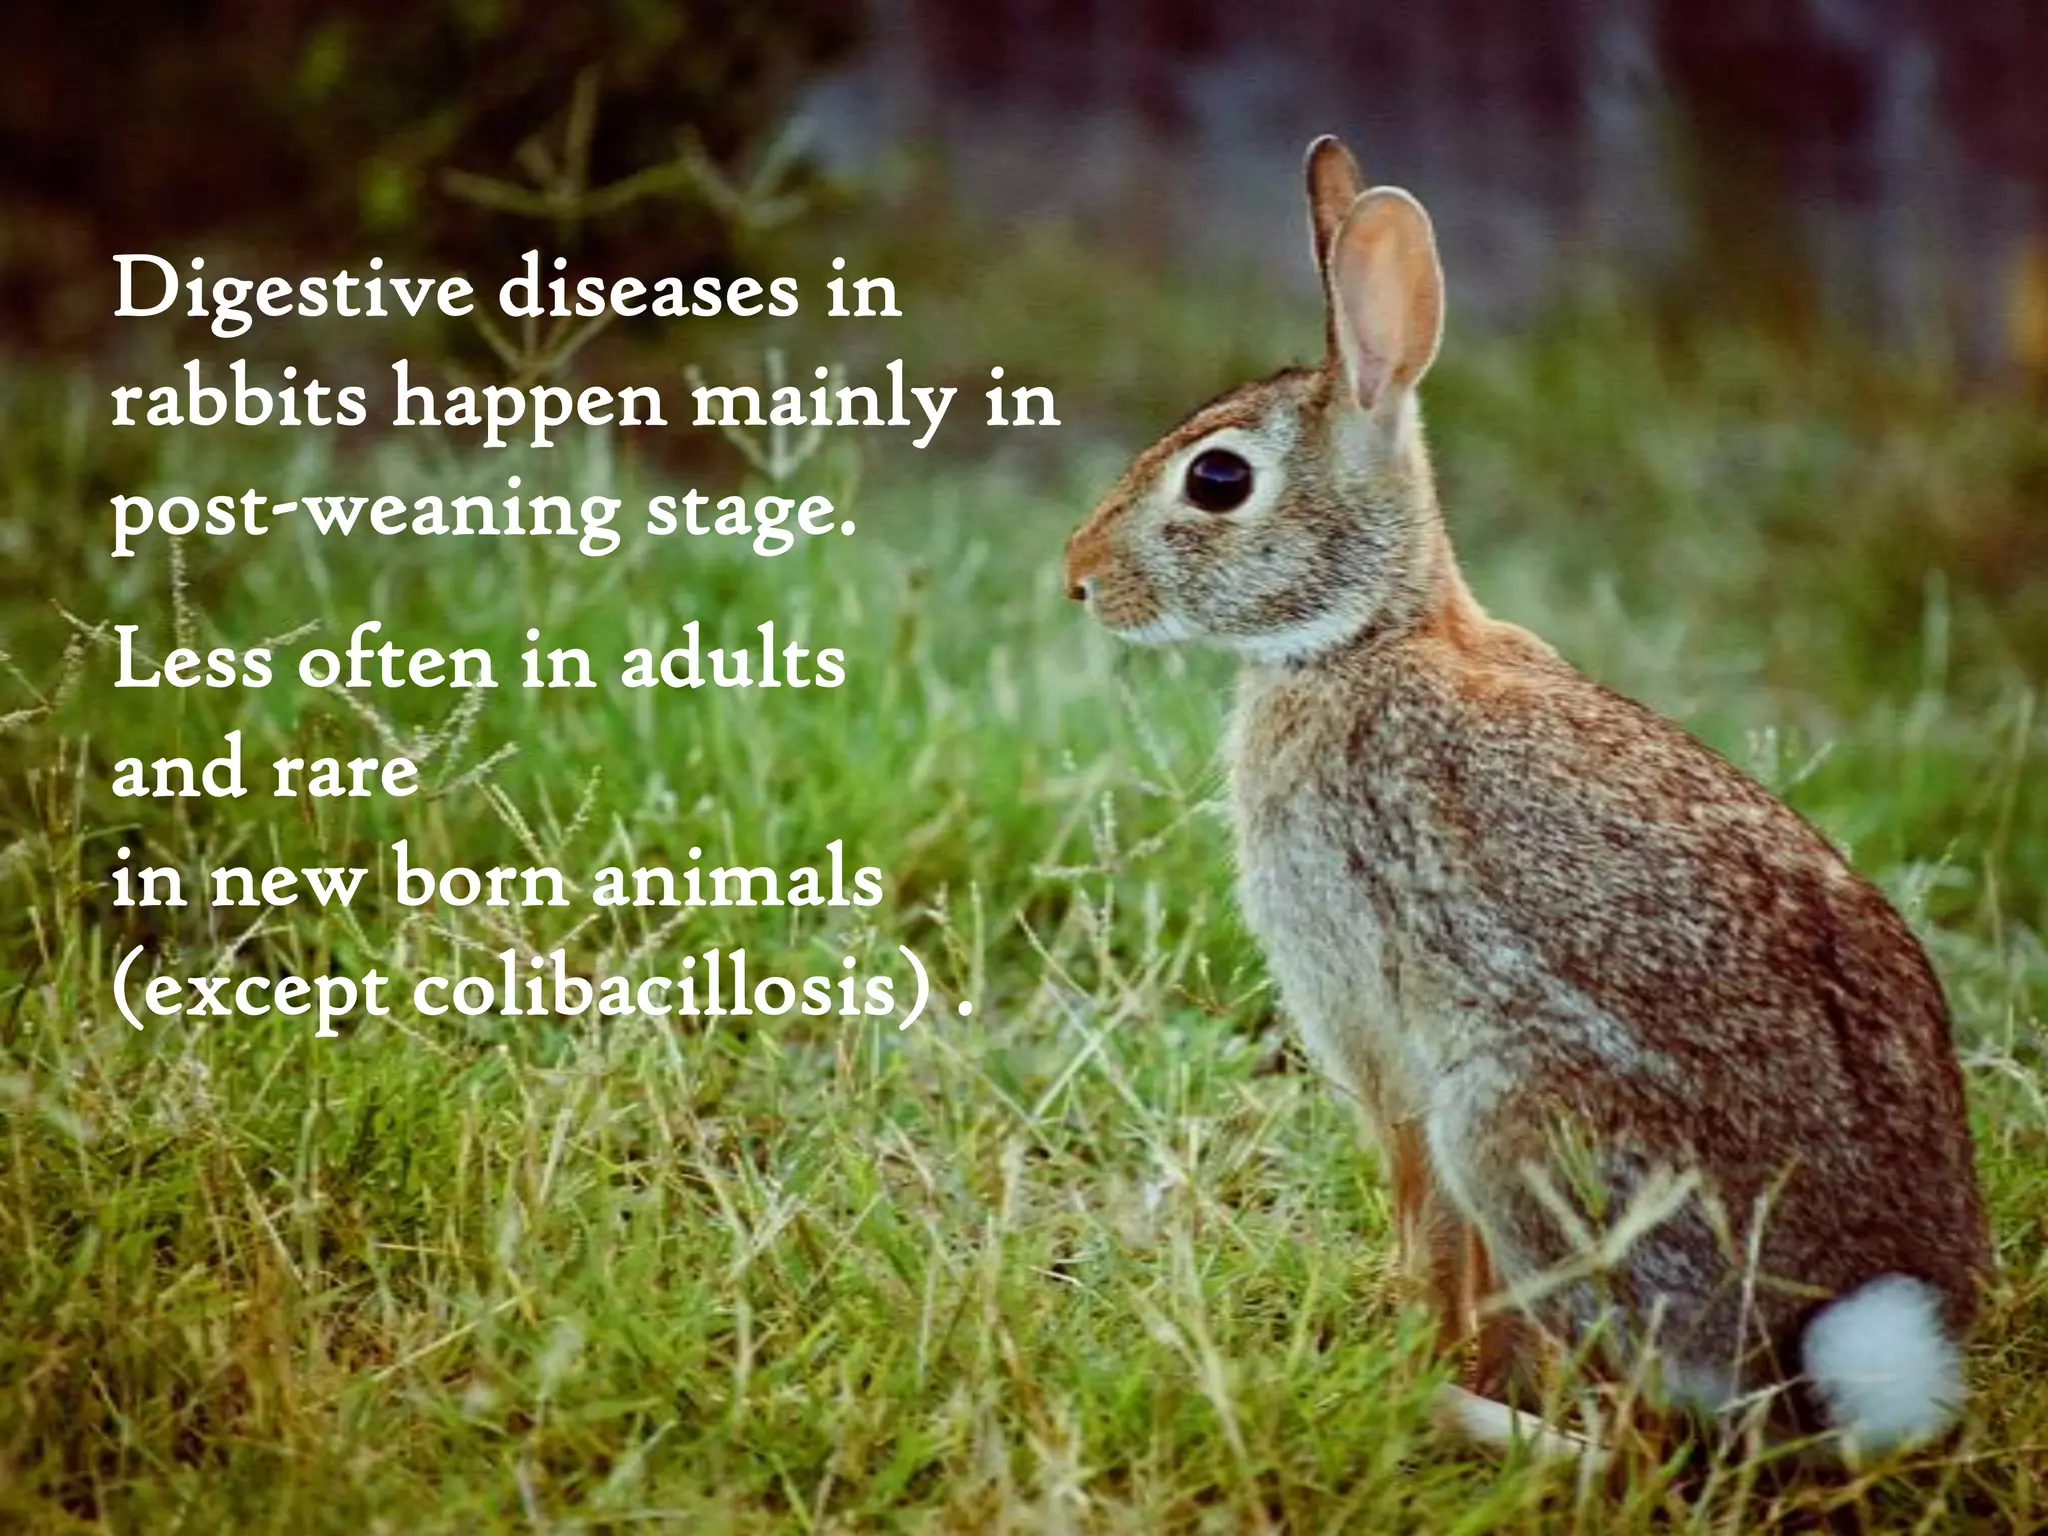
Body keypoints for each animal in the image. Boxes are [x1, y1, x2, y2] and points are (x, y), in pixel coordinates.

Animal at [1063, 135, 1989, 1465]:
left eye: (1218, 478)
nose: (1079, 578)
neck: (1370, 636)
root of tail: (1839, 1343)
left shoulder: (1381, 1045)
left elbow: (1423, 1228)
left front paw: (1414, 1348)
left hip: (1517, 1128)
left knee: (1648, 1449)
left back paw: (1467, 1416)